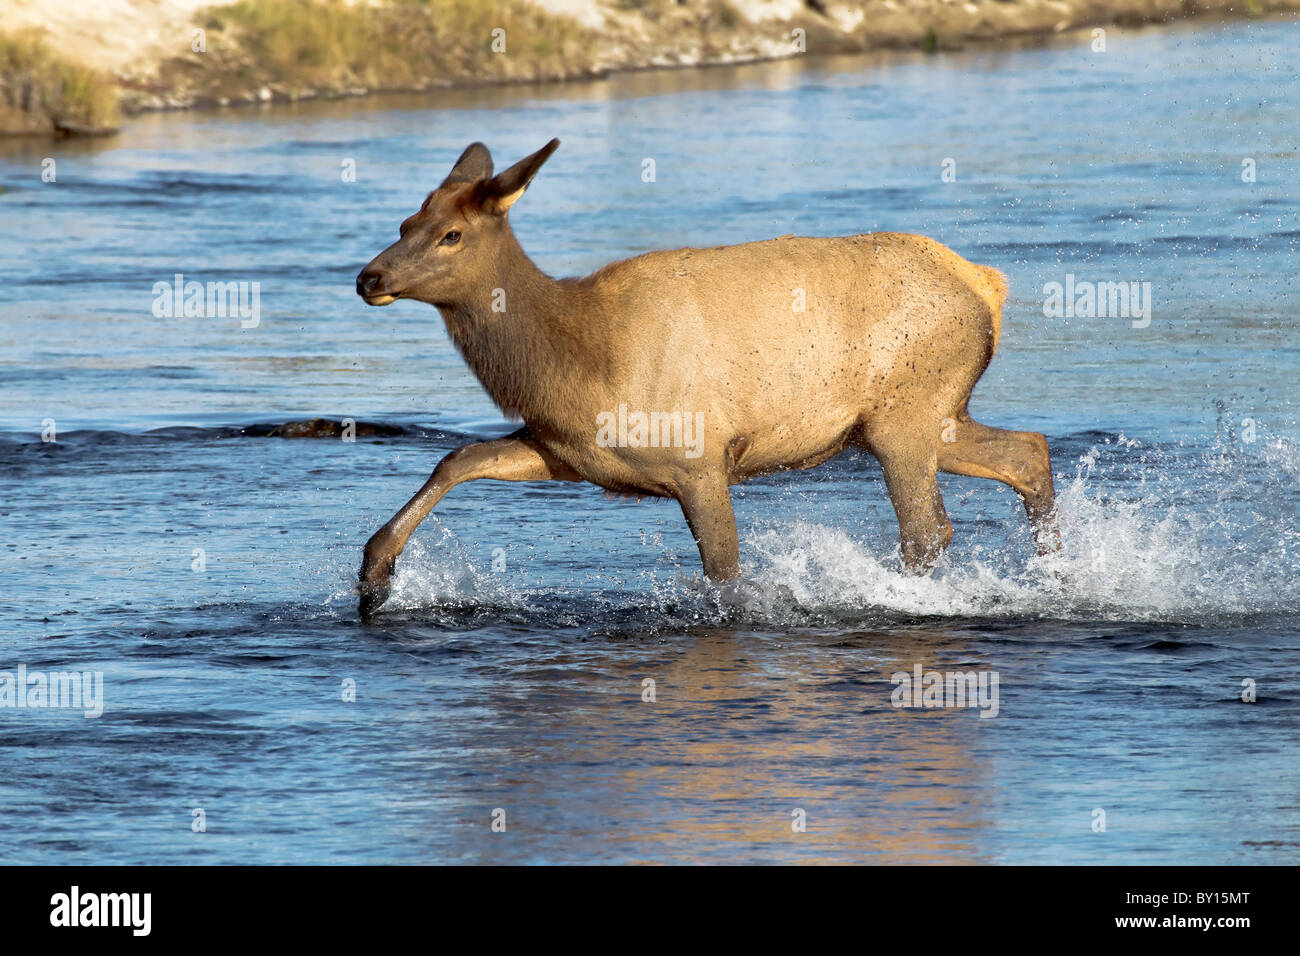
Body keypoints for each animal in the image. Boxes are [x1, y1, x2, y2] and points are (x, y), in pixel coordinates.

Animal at [354, 139, 1058, 618]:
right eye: (405, 223)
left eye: (451, 234)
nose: (369, 277)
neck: (575, 363)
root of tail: (988, 287)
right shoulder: (571, 453)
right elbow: (460, 458)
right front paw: (374, 572)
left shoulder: (698, 458)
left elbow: (724, 569)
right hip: (929, 416)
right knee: (1028, 451)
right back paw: (1055, 576)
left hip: (904, 414)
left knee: (928, 530)